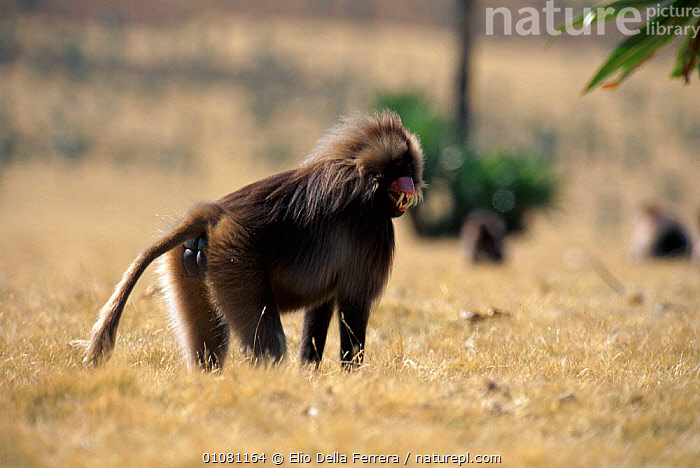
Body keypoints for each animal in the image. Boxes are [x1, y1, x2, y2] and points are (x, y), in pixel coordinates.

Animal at [83, 112, 424, 371]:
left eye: (409, 169)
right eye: (400, 169)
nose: (410, 184)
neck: (358, 172)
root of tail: (213, 213)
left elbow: (319, 311)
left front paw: (308, 375)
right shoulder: (373, 229)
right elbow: (353, 309)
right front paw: (349, 377)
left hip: (192, 263)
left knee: (208, 351)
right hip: (236, 259)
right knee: (268, 343)